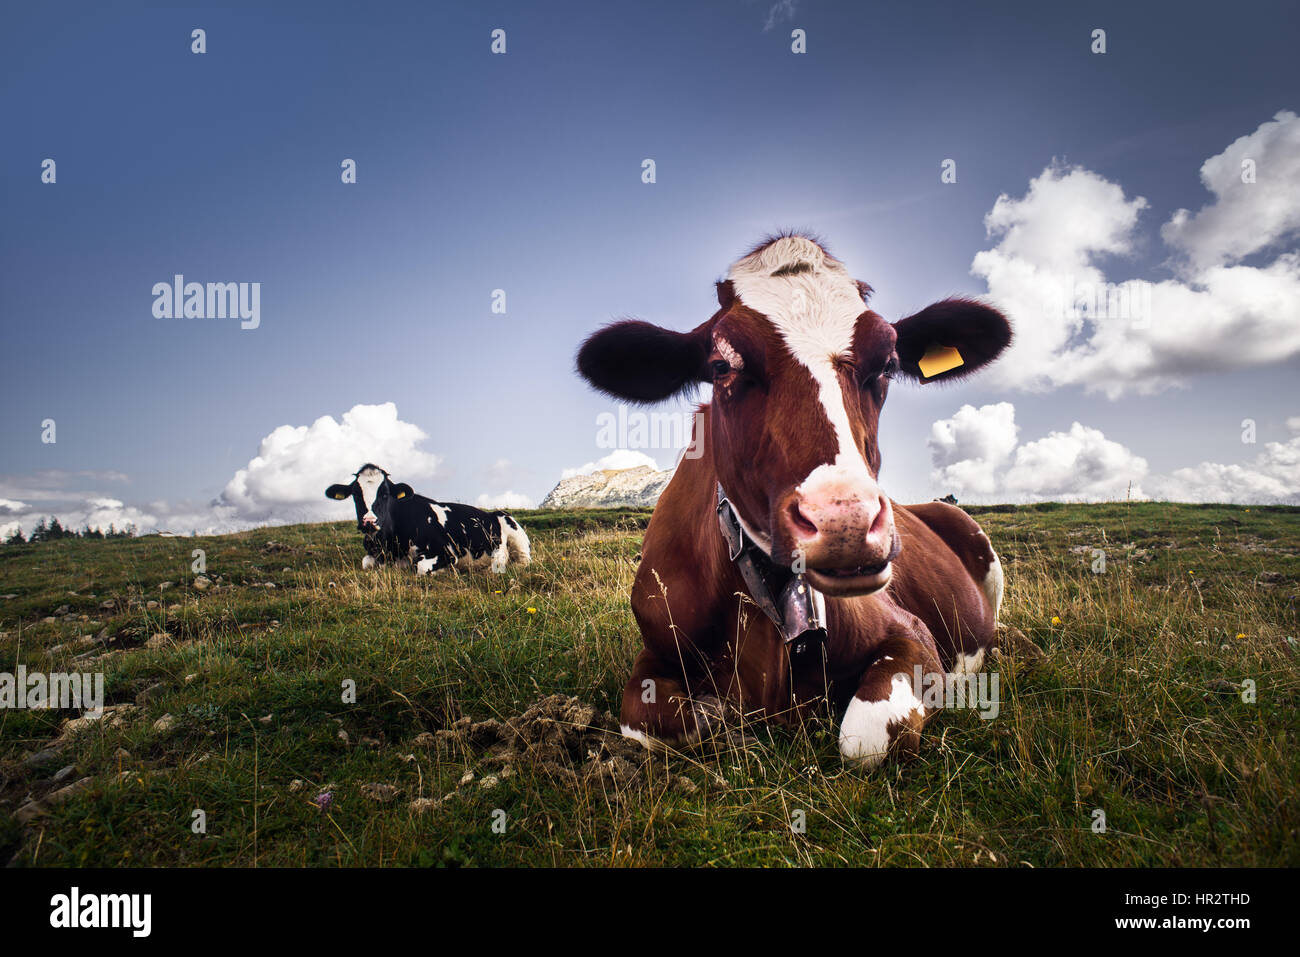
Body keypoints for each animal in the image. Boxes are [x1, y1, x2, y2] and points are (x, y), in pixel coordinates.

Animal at [325, 464, 531, 574]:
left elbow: (421, 567)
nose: (369, 521)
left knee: (516, 561)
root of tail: (492, 513)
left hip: (516, 538)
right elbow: (366, 563)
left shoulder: (446, 552)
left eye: (384, 494)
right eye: (355, 494)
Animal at [576, 234, 1013, 768]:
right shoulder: (654, 651)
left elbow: (863, 736)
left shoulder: (911, 633)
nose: (845, 522)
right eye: (721, 366)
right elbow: (655, 720)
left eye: (888, 365)